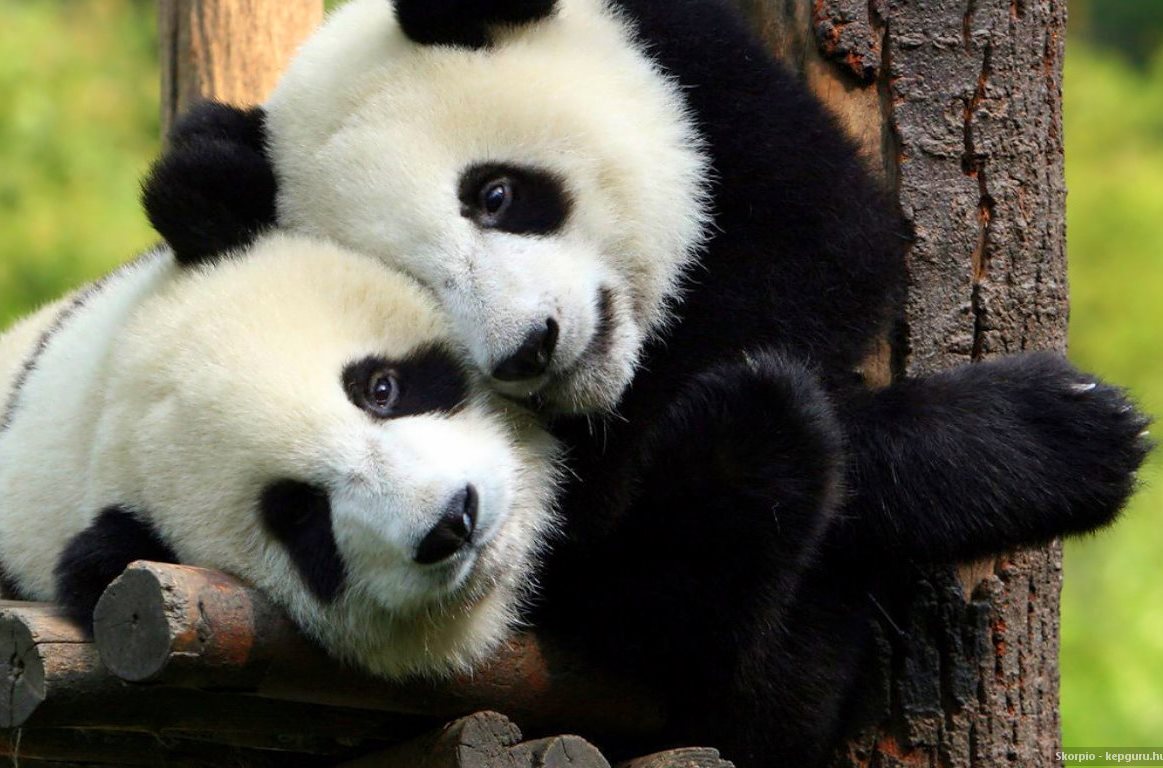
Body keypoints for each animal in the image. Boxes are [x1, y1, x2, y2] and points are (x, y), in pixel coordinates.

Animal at [148, 0, 1152, 763]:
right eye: (416, 286)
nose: (529, 348)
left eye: (495, 195)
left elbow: (825, 244)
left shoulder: (721, 103)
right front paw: (1054, 436)